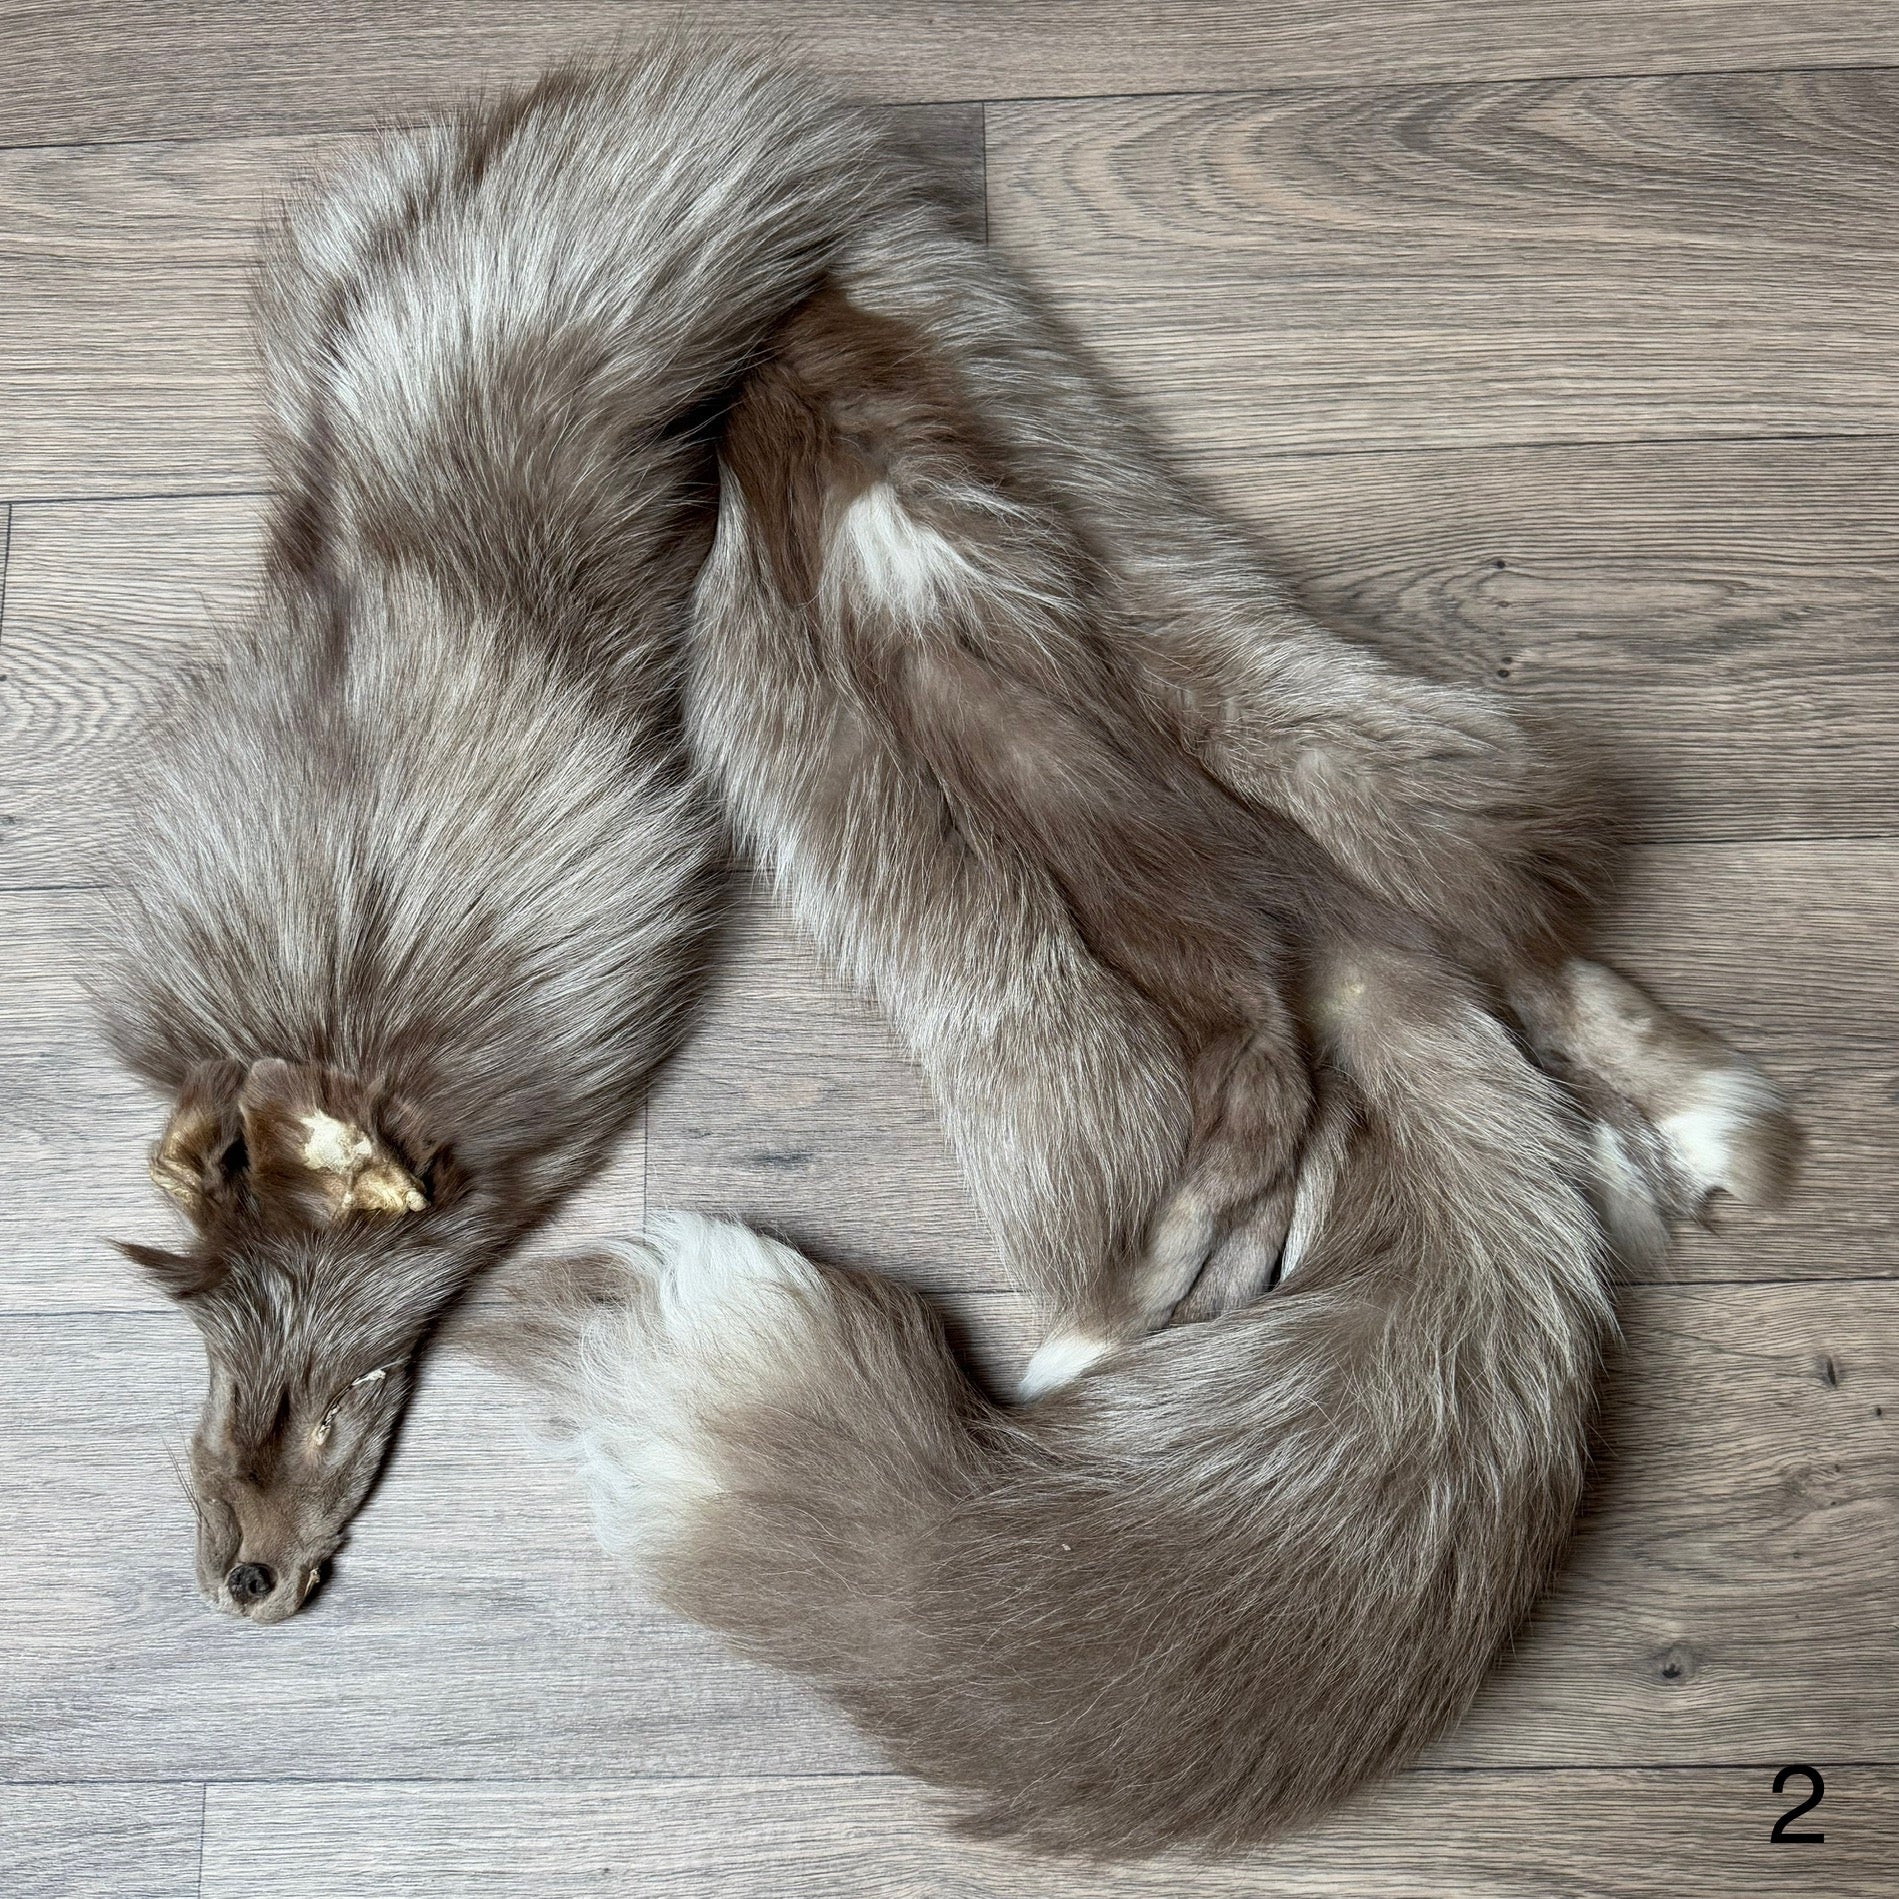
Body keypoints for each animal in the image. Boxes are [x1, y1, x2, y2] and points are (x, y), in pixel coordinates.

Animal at [474, 55, 1799, 1857]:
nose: (787, 318)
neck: (863, 452)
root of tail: (1354, 938)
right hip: (1413, 883)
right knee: (1540, 987)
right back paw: (1685, 1125)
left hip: (1195, 970)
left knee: (1265, 1111)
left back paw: (1127, 1298)